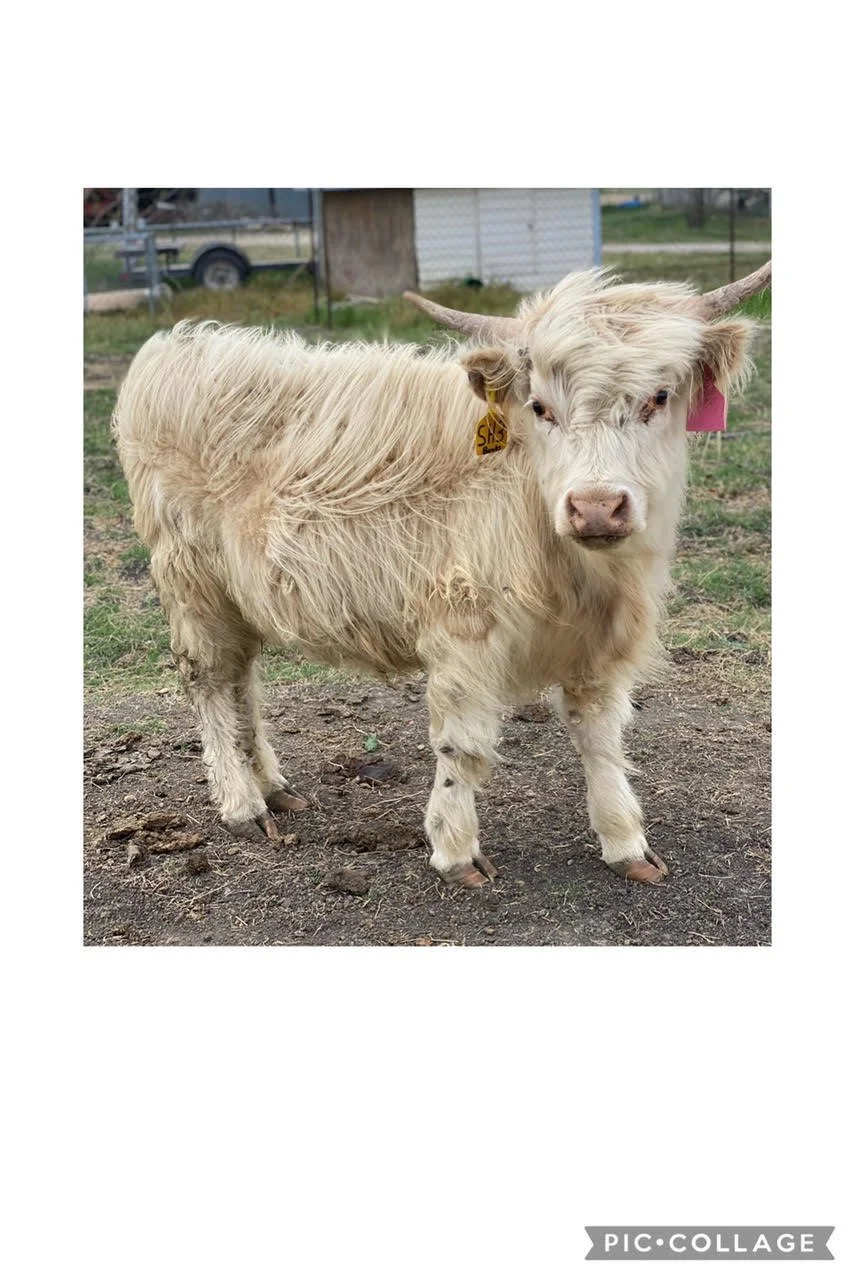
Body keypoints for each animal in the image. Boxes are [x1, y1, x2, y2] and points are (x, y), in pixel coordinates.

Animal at [112, 261, 770, 888]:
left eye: (658, 397)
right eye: (540, 407)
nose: (596, 507)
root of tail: (174, 348)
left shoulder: (602, 644)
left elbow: (602, 739)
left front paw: (625, 842)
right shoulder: (463, 633)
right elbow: (462, 746)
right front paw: (455, 850)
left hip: (240, 593)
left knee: (241, 678)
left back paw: (273, 785)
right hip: (190, 579)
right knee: (207, 677)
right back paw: (241, 804)